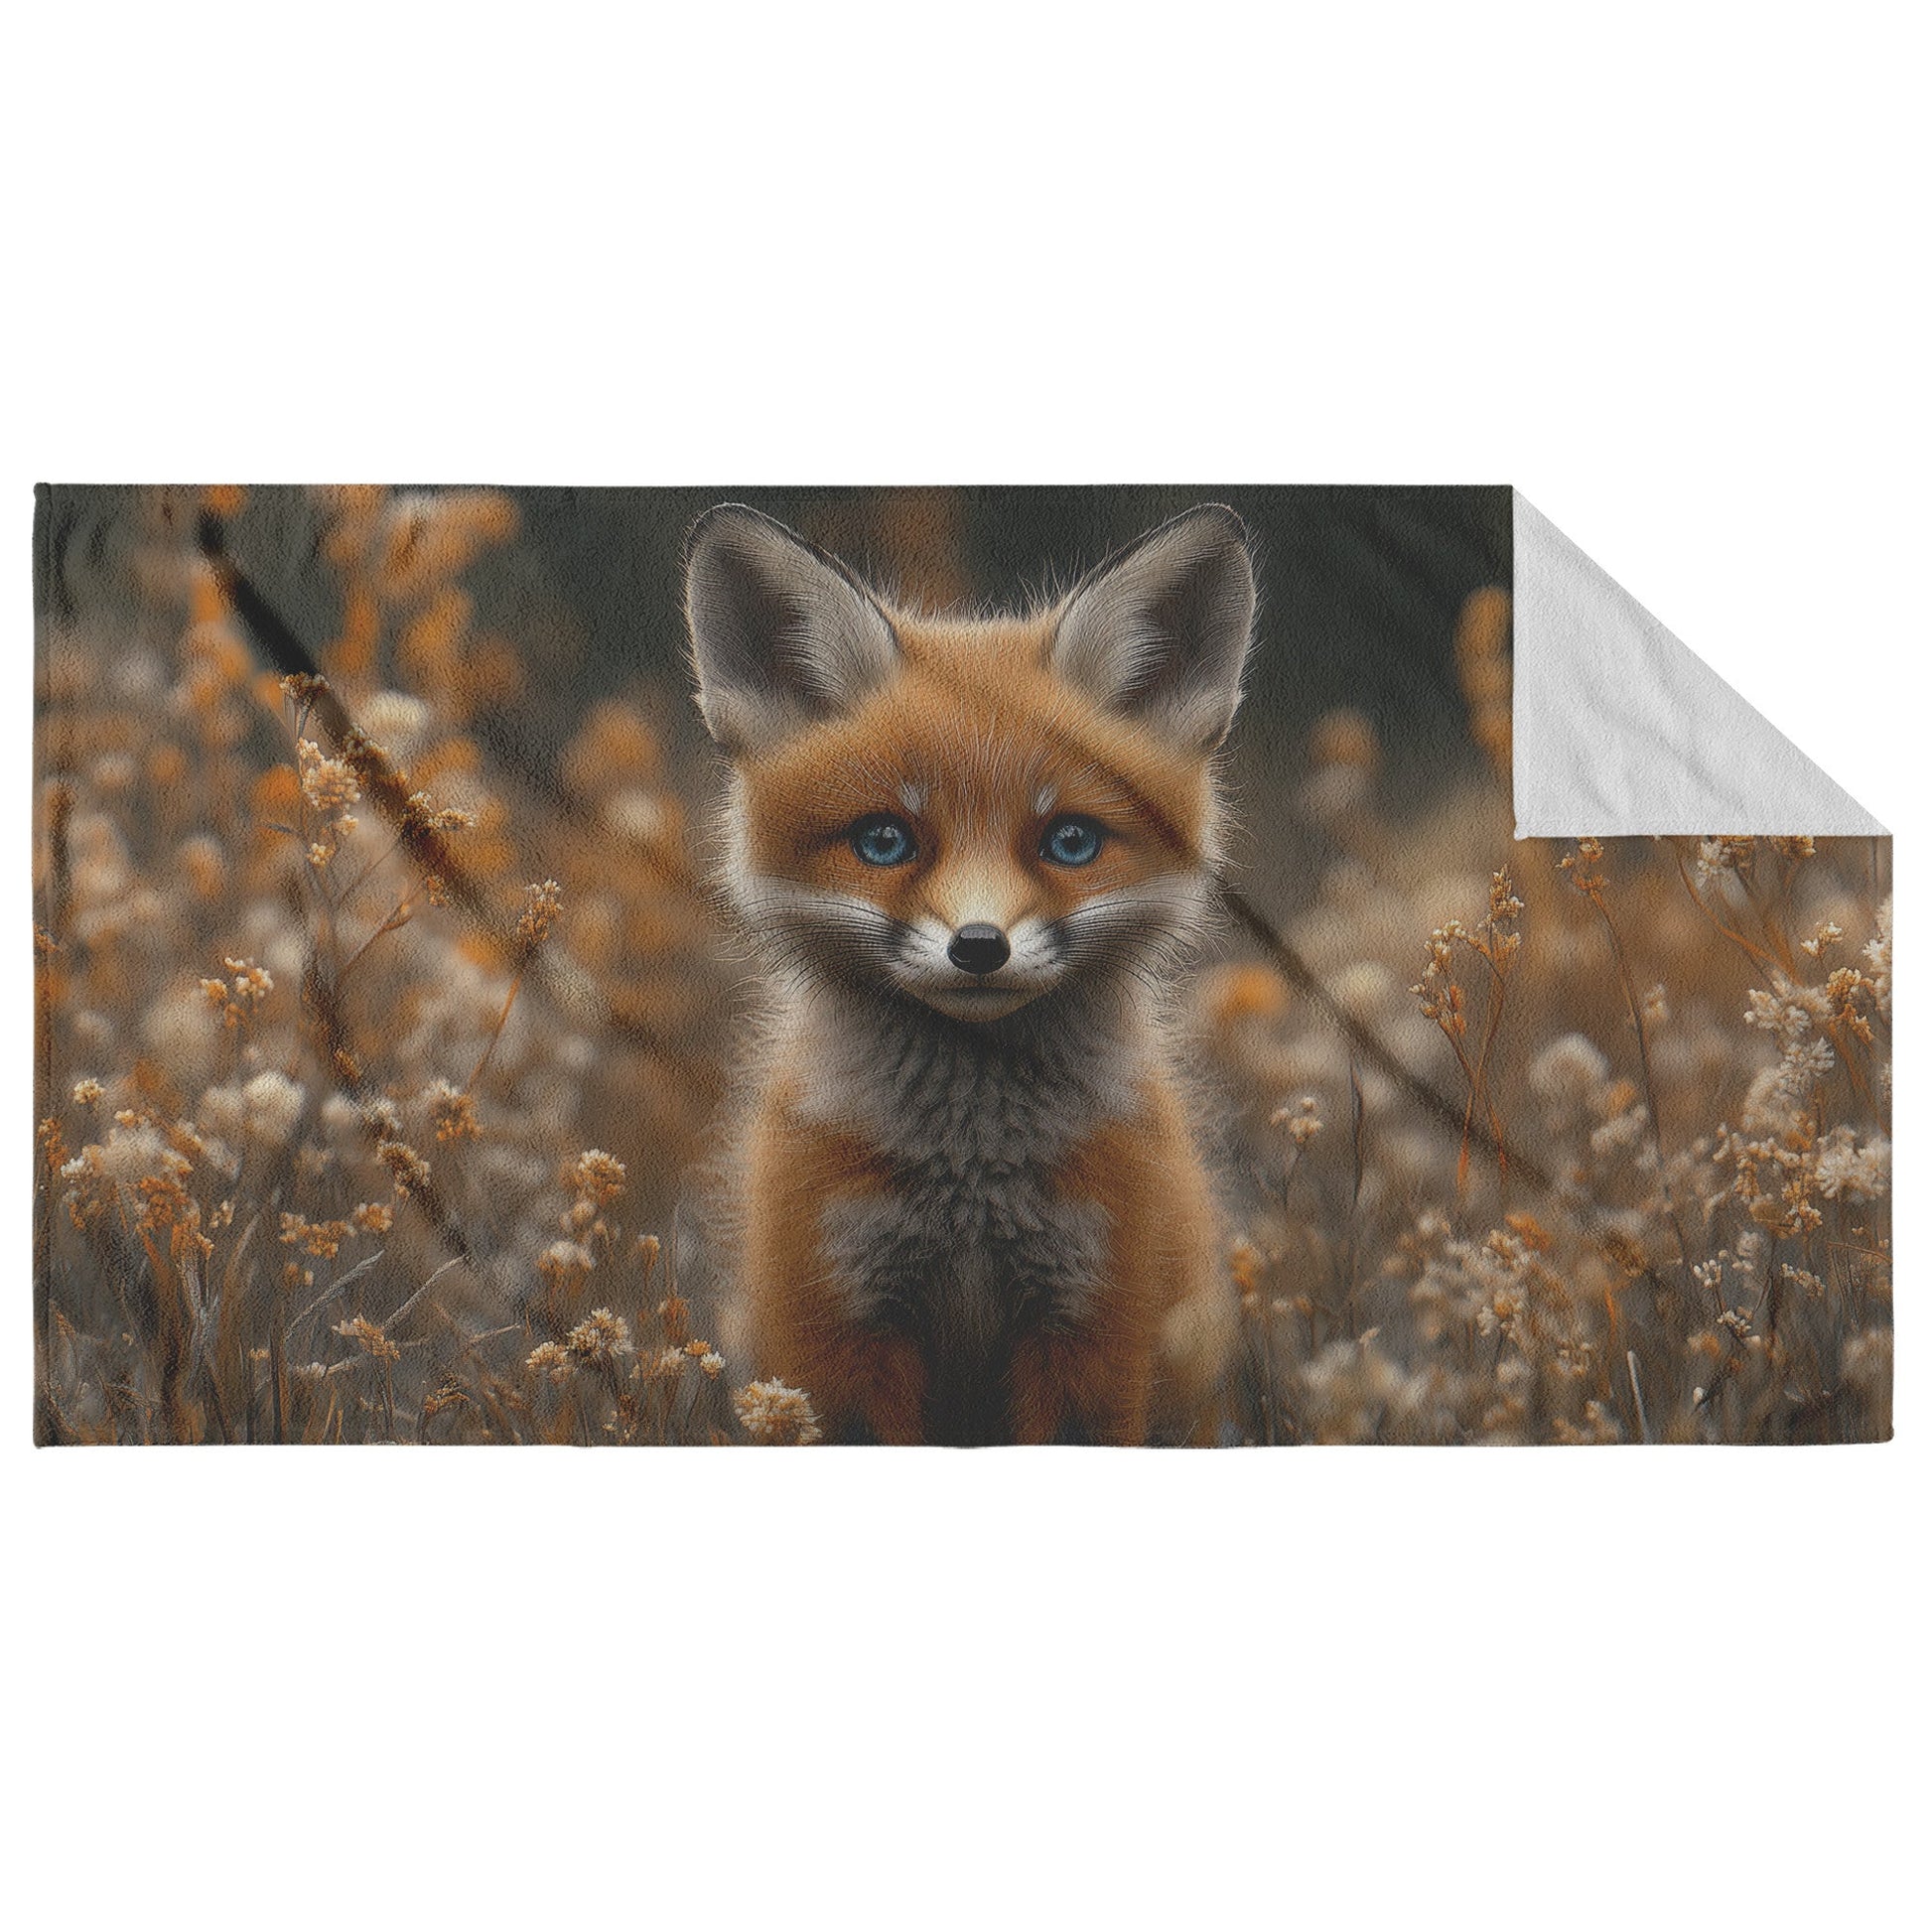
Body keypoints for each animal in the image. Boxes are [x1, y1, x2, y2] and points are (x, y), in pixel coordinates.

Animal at [685, 502, 1257, 1445]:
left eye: (1071, 841)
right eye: (884, 840)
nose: (980, 946)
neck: (971, 1177)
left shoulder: (1093, 1321)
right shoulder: (839, 1327)